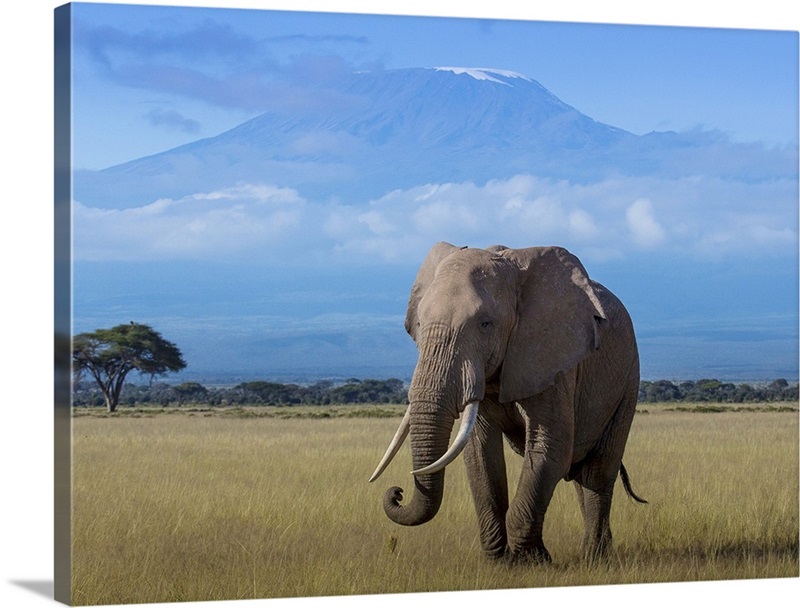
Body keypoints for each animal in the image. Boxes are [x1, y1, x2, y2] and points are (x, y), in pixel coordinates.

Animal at [370, 242, 646, 563]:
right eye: (419, 323)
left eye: (485, 324)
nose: (397, 492)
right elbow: (480, 454)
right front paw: (498, 561)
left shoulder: (550, 356)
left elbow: (550, 447)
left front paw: (532, 562)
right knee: (581, 473)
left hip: (628, 378)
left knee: (598, 471)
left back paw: (594, 558)